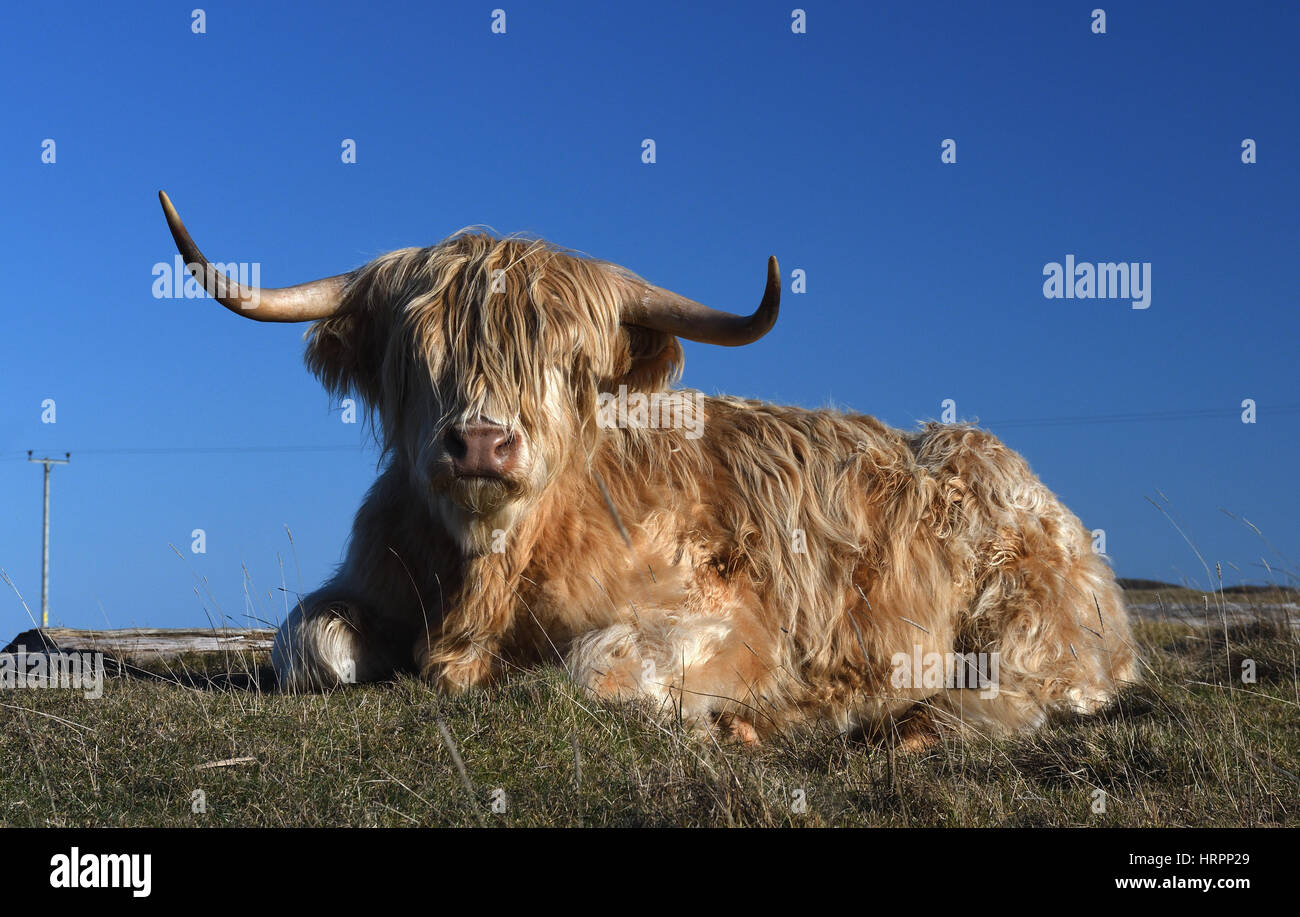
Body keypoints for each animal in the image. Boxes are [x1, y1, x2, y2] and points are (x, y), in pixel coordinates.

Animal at [159, 191, 1137, 748]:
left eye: (567, 360)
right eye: (418, 350)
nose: (481, 444)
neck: (489, 577)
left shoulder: (731, 616)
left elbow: (598, 667)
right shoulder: (363, 585)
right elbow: (307, 646)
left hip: (1026, 616)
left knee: (1029, 690)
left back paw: (894, 720)